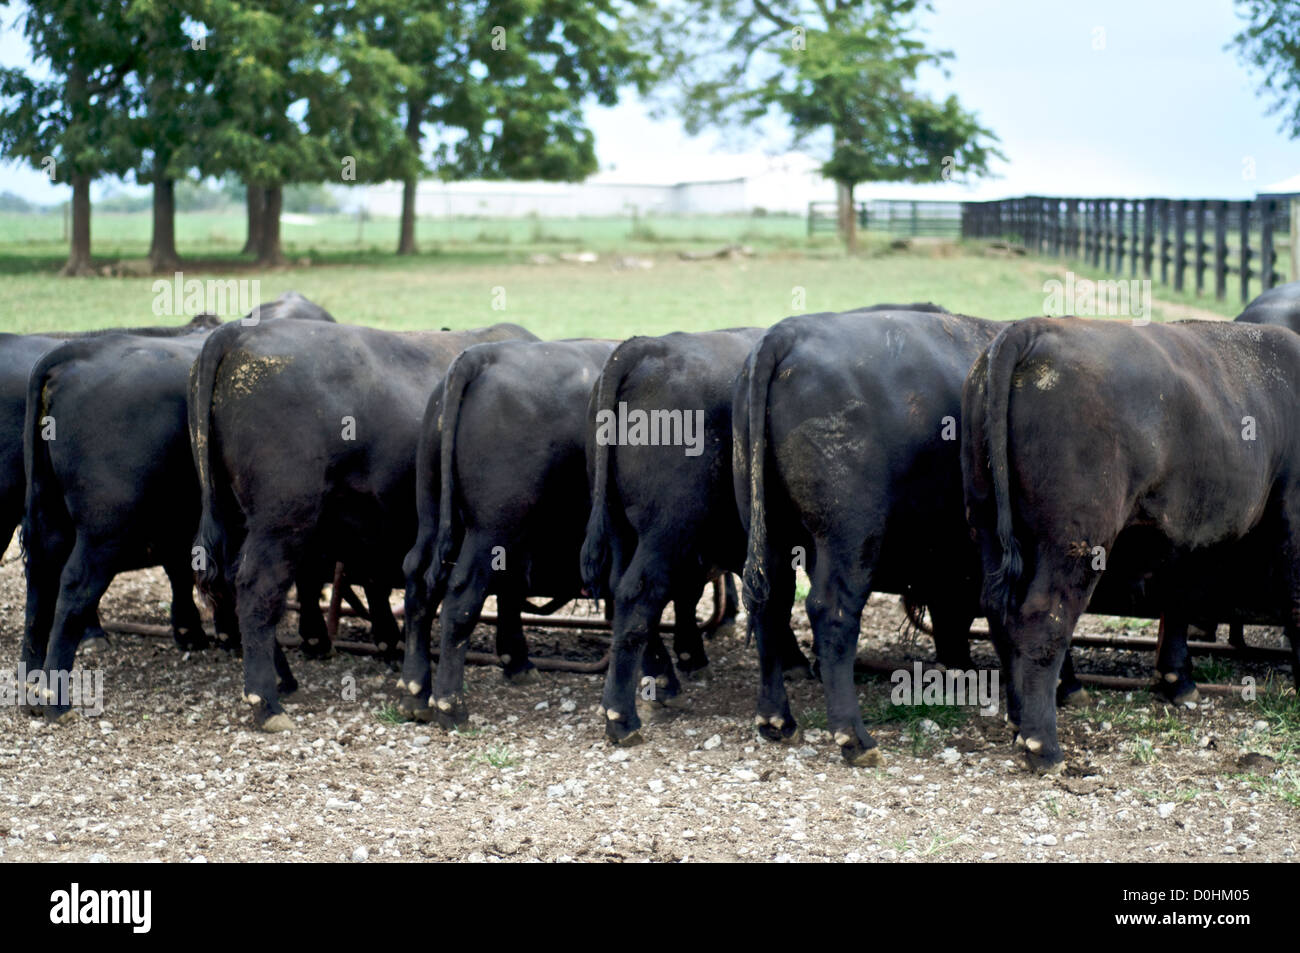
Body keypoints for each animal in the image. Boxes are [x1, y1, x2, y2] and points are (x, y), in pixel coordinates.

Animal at [190, 320, 537, 731]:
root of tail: (236, 332)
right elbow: (509, 590)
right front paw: (517, 660)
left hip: (236, 516)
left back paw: (283, 680)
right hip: (282, 520)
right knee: (258, 590)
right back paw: (267, 703)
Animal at [398, 339, 617, 725]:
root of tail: (480, 356)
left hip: (437, 516)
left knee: (419, 584)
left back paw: (415, 692)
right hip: (492, 527)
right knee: (462, 594)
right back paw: (450, 705)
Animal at [580, 328, 814, 747]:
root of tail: (643, 346)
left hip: (623, 527)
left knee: (624, 589)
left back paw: (662, 678)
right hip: (668, 529)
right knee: (640, 593)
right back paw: (622, 716)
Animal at [734, 308, 1087, 767]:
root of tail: (786, 333)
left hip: (769, 533)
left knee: (769, 607)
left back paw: (775, 719)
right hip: (850, 536)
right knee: (832, 612)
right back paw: (855, 739)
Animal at [963, 316, 1300, 772]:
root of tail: (1031, 329)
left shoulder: (1192, 533)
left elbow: (1179, 599)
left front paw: (1178, 681)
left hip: (986, 522)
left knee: (999, 610)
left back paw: (1019, 721)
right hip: (1076, 538)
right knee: (1042, 616)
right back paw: (1043, 745)